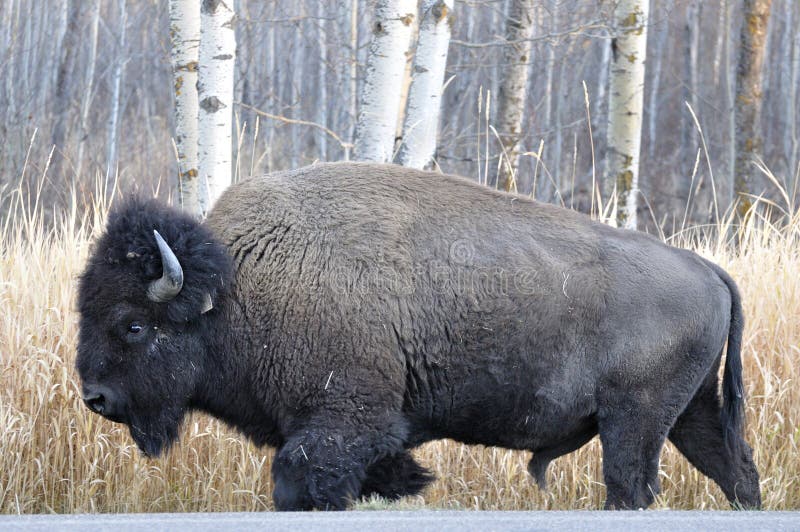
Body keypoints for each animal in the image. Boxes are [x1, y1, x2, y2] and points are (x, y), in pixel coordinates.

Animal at [76, 162, 760, 510]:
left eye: (133, 324)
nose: (96, 398)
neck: (239, 286)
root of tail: (706, 268)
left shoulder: (338, 425)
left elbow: (301, 481)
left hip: (634, 419)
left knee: (631, 484)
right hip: (691, 413)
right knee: (735, 470)